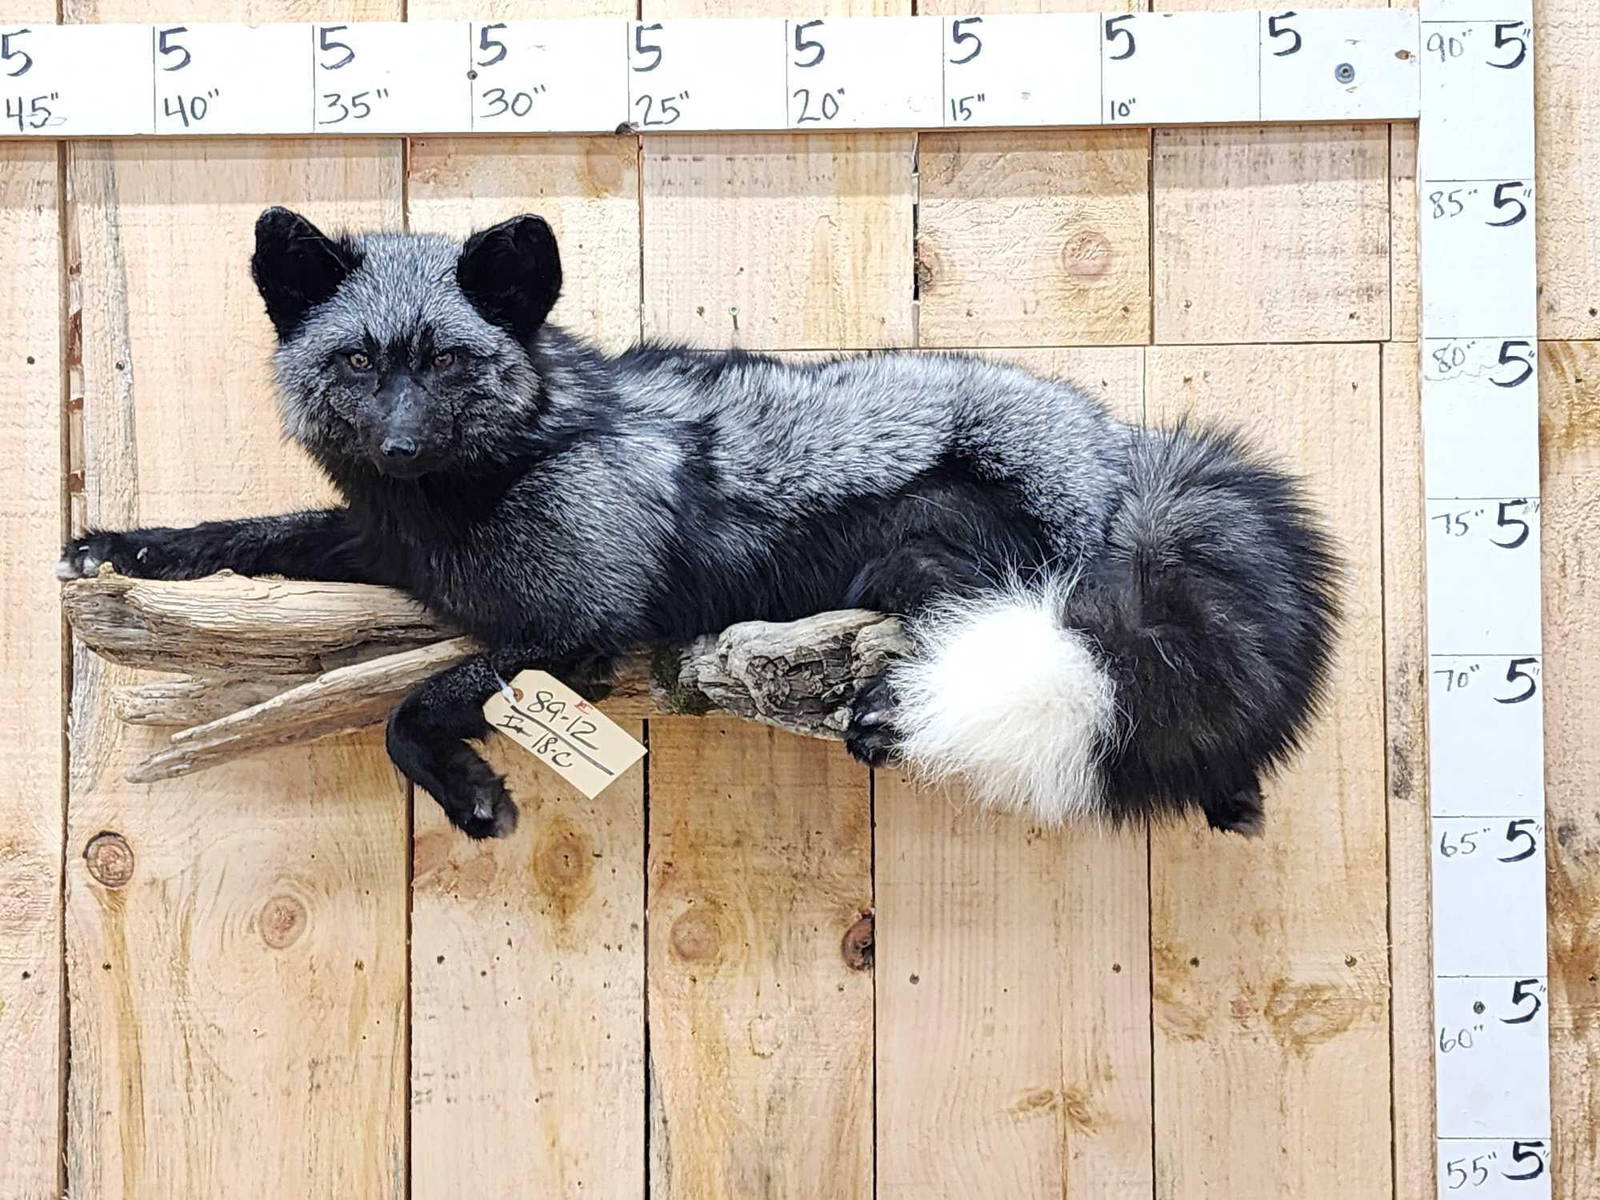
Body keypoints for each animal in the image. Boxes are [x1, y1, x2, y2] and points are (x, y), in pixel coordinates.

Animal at [59, 207, 1341, 840]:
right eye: (362, 365)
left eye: (450, 365)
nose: (406, 448)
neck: (450, 511)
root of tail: (1119, 447)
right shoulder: (370, 545)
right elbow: (253, 532)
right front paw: (125, 546)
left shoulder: (578, 627)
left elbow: (406, 707)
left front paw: (468, 794)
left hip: (947, 542)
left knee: (997, 613)